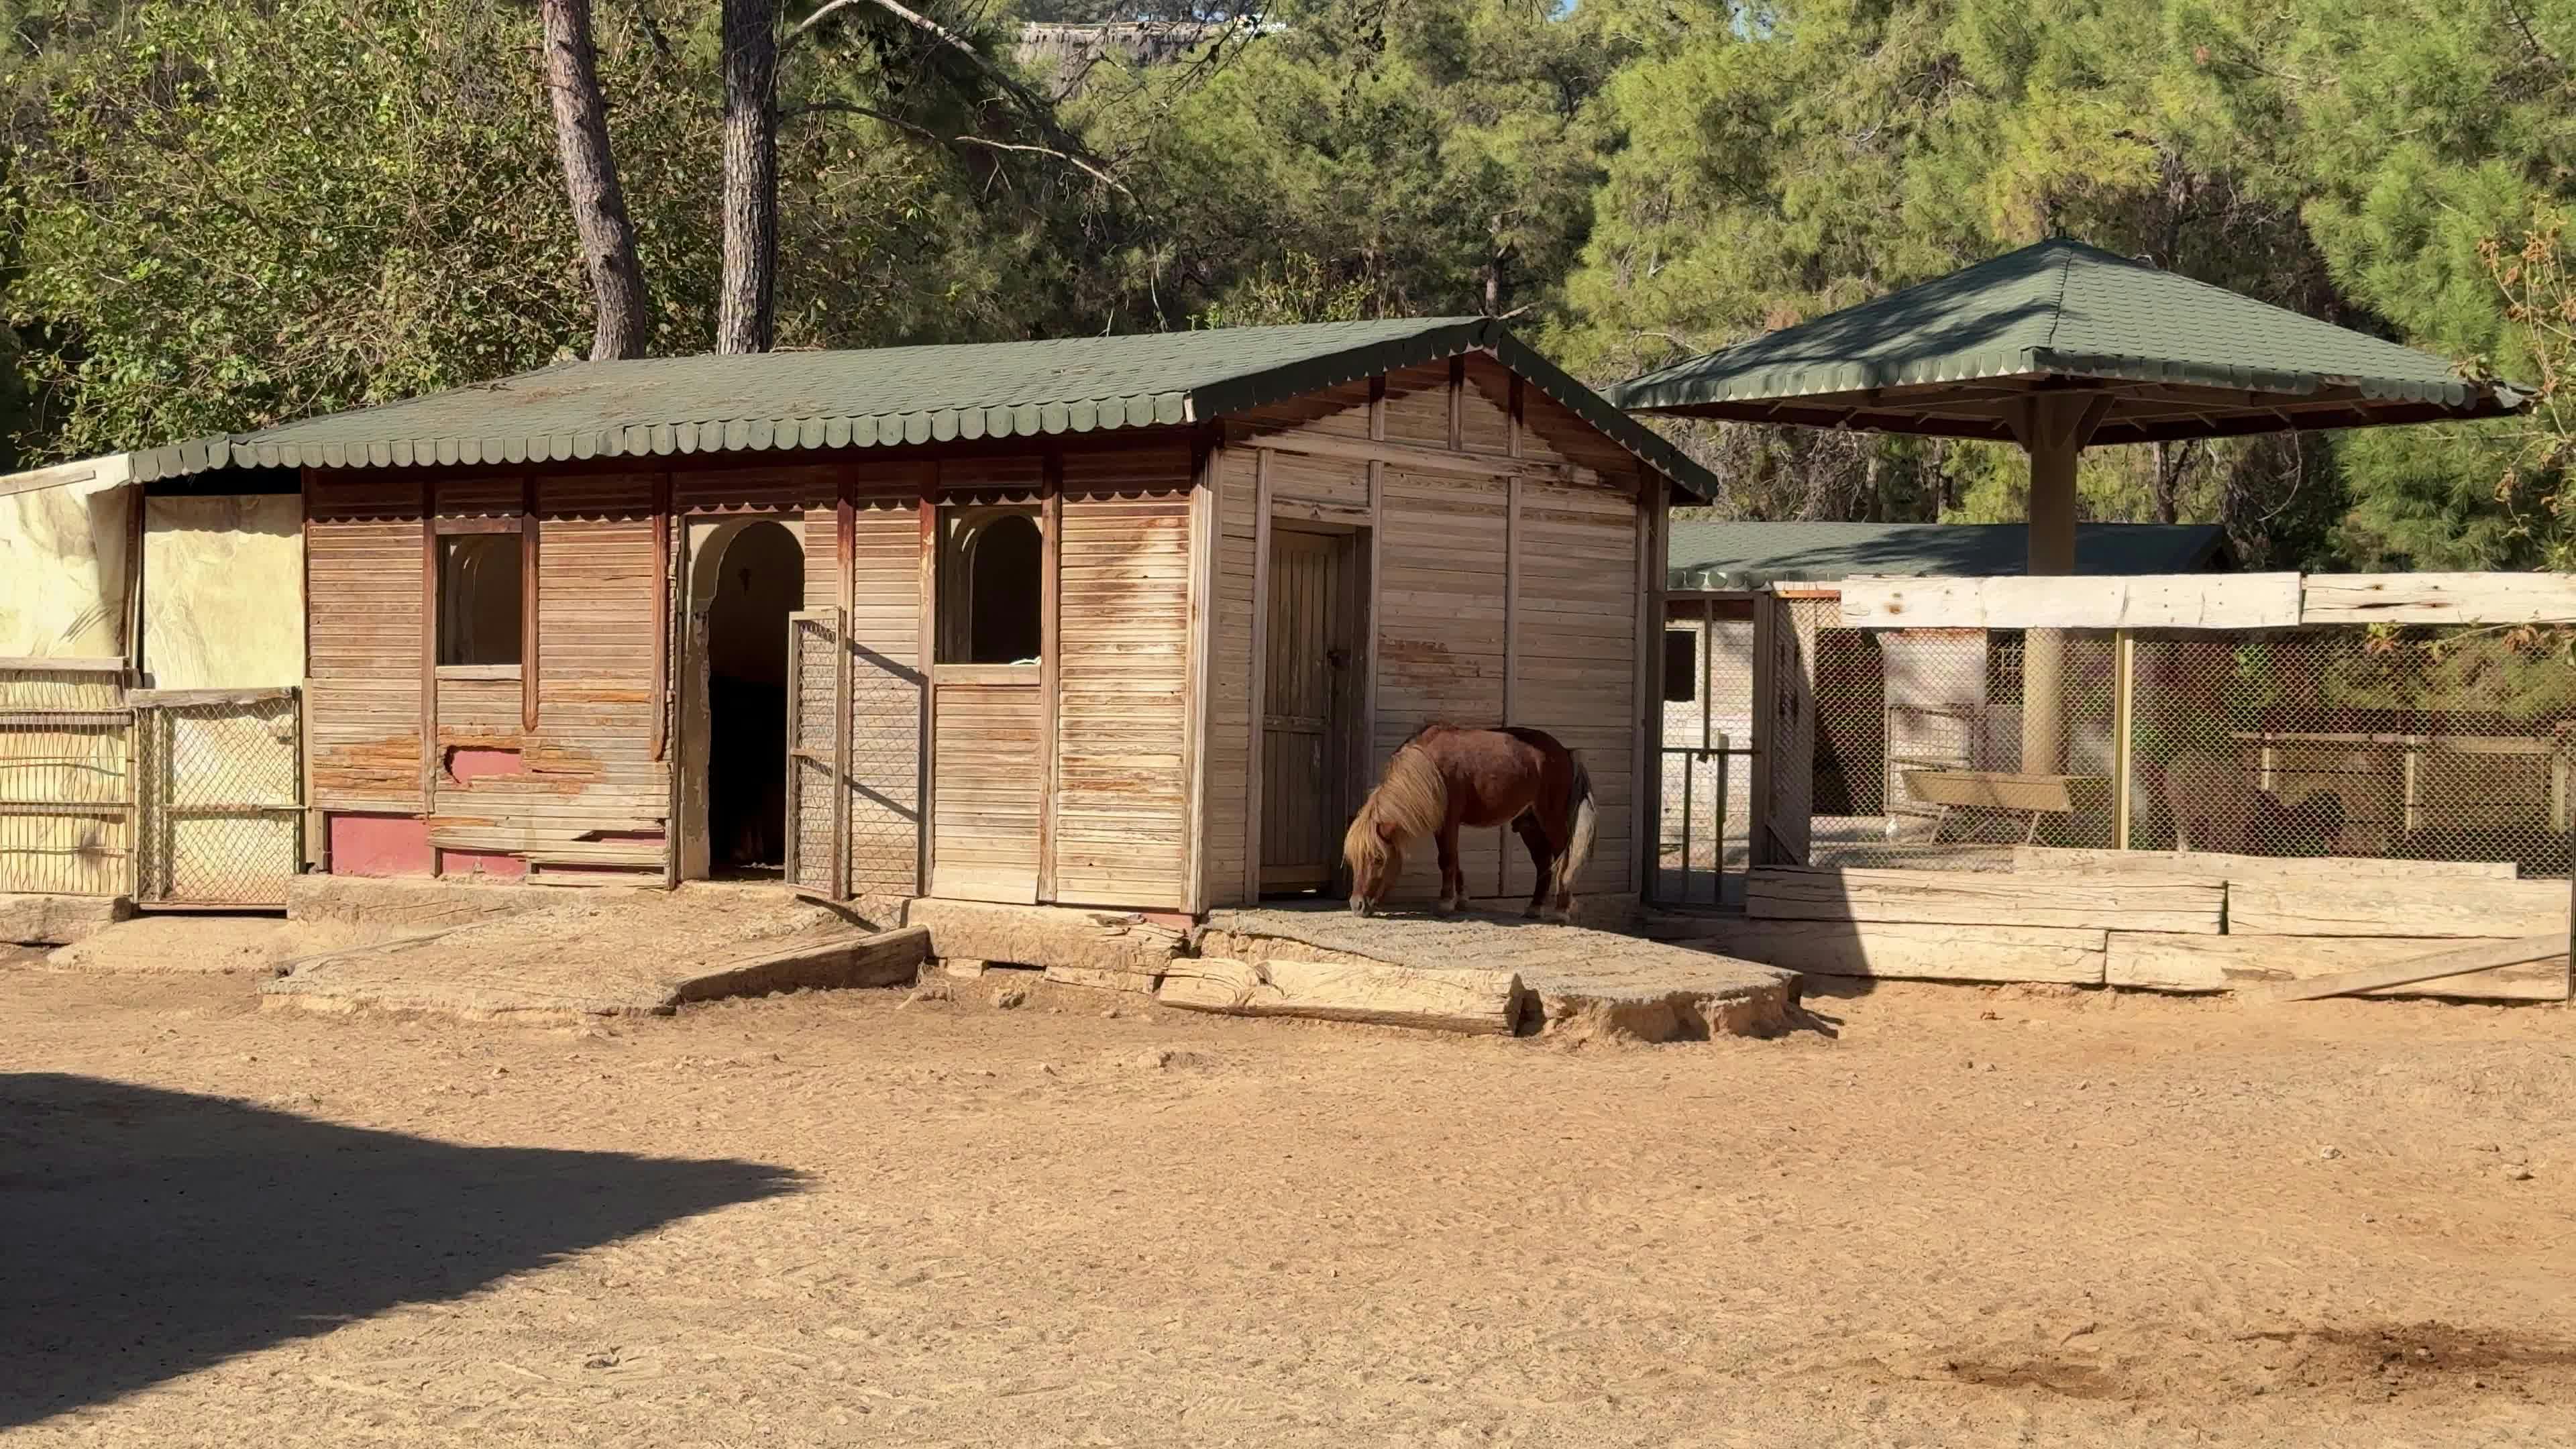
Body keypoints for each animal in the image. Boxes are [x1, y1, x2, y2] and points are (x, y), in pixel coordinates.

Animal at [1342, 724, 1597, 921]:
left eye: (1378, 859)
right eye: (1353, 859)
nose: (1357, 905)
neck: (1429, 764)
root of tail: (1566, 752)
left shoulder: (1447, 822)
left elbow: (1446, 859)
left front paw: (1445, 903)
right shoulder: (1446, 825)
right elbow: (1454, 860)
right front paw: (1461, 899)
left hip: (1551, 820)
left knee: (1564, 858)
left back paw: (1562, 910)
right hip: (1529, 823)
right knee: (1543, 862)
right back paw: (1535, 908)